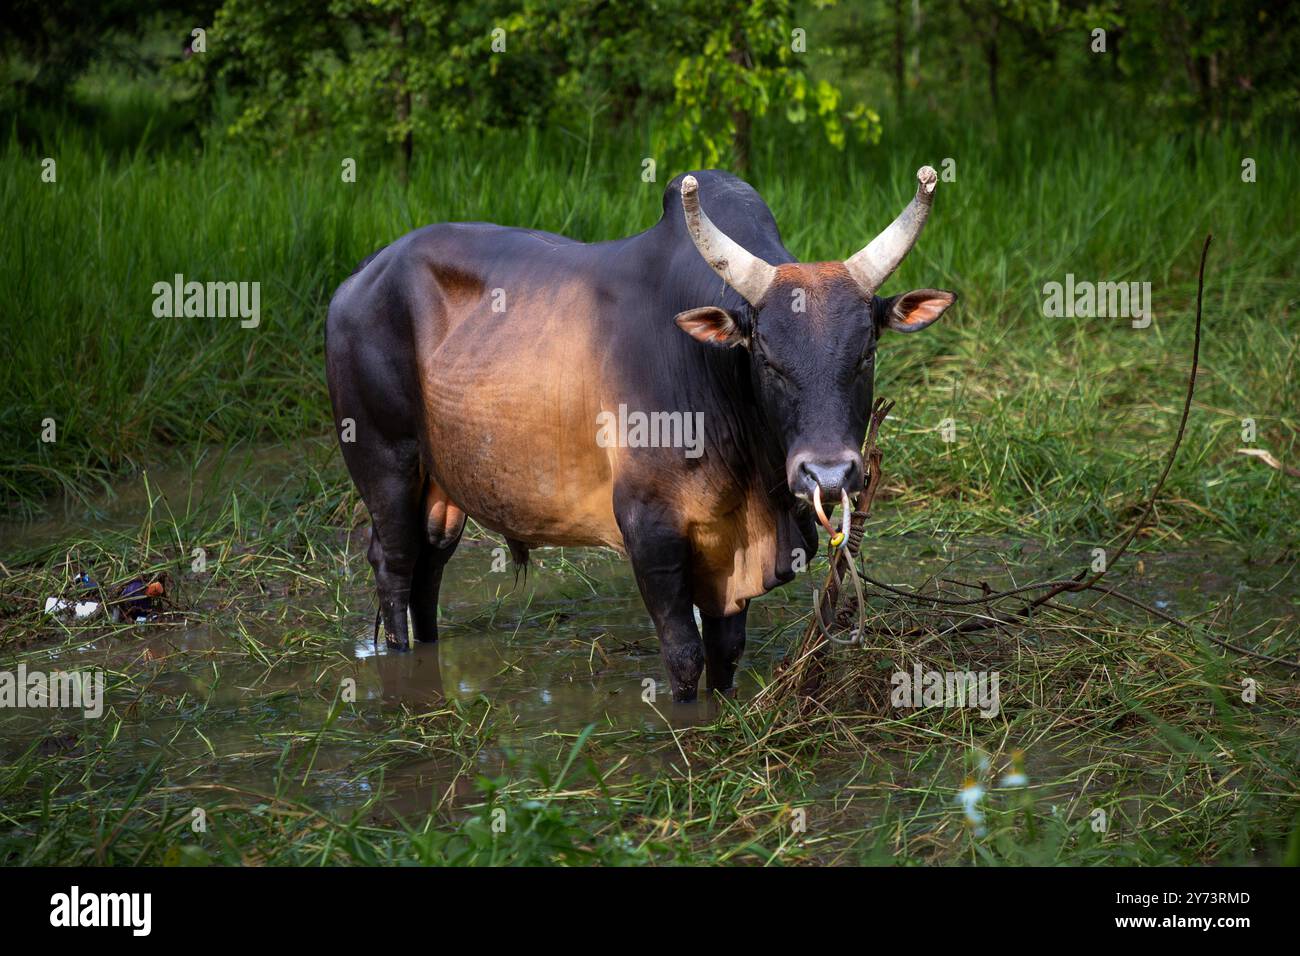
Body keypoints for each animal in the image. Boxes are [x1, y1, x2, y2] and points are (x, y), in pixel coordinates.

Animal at [325, 166, 956, 702]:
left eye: (866, 351)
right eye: (768, 359)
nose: (828, 472)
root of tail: (358, 279)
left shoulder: (727, 553)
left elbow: (726, 653)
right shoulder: (650, 532)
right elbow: (684, 656)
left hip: (444, 490)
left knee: (429, 567)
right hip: (385, 462)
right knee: (395, 563)